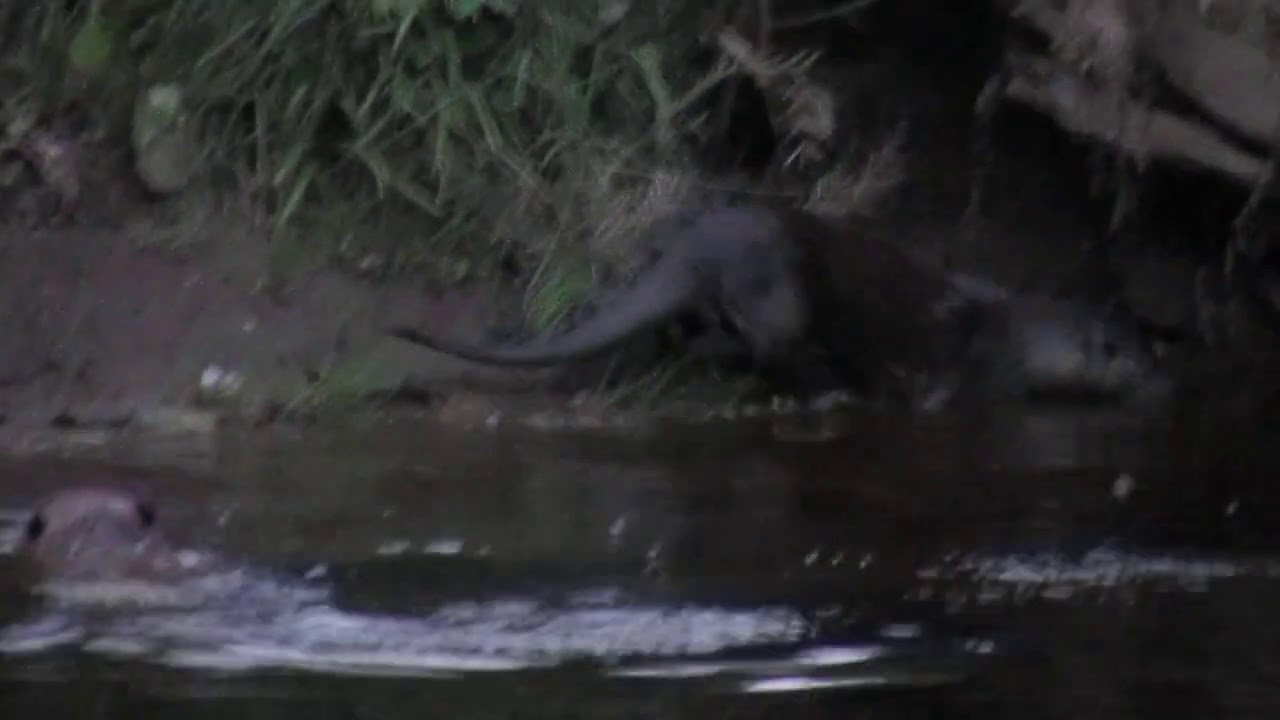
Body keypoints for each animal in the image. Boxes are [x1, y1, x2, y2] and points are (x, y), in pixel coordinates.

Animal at [390, 203, 1164, 406]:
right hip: (783, 296)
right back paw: (827, 393)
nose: (1161, 381)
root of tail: (702, 247)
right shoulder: (975, 370)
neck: (1019, 331)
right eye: (1132, 354)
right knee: (763, 353)